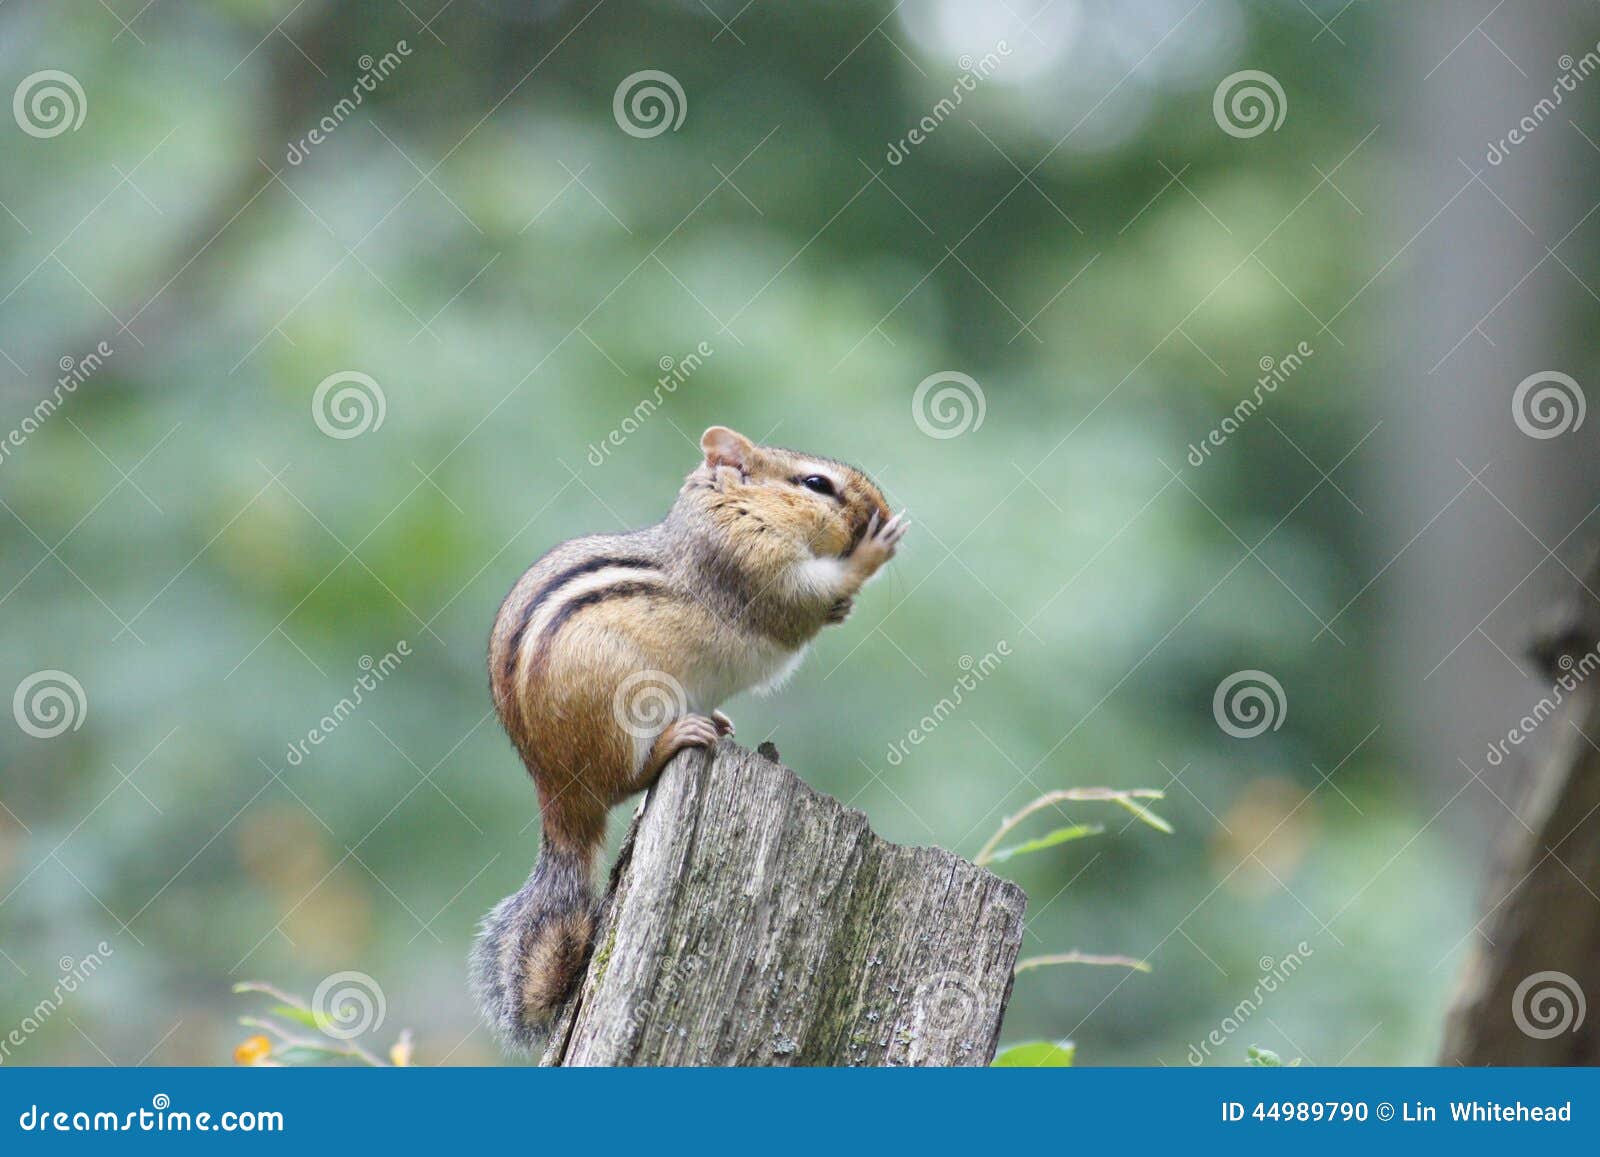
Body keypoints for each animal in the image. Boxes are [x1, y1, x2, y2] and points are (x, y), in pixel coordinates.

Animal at [470, 425, 907, 1051]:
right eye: (817, 484)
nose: (884, 512)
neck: (733, 510)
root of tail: (558, 798)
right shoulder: (750, 566)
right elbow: (798, 602)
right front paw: (873, 552)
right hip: (622, 713)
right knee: (627, 780)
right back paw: (681, 737)